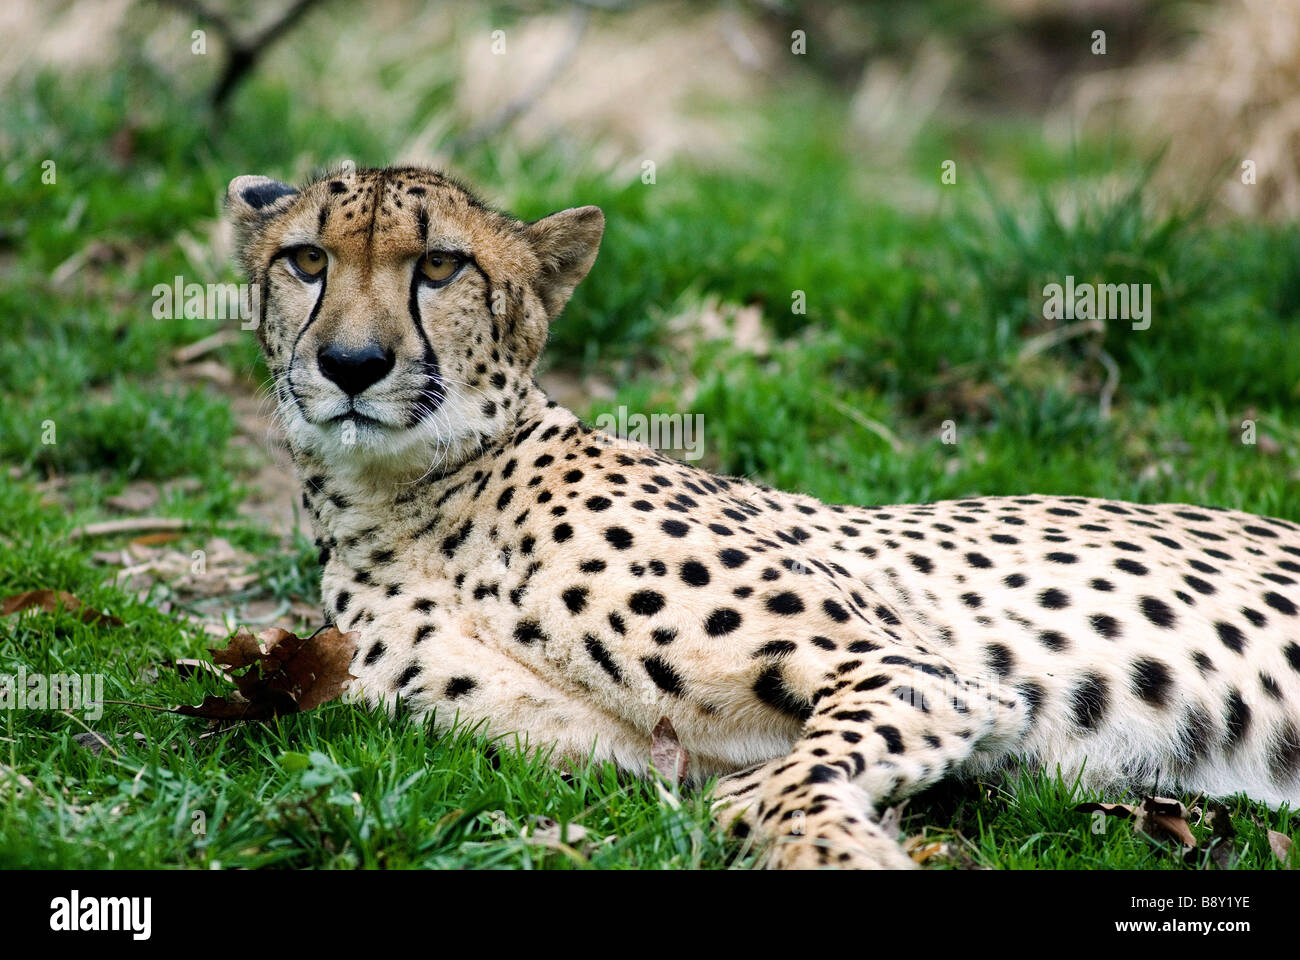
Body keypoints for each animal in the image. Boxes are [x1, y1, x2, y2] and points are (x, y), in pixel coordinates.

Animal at [225, 164, 1300, 869]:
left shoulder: (923, 671)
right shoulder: (604, 758)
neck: (409, 503)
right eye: (307, 259)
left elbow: (775, 784)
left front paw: (847, 852)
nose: (352, 366)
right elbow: (737, 785)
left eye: (442, 268)